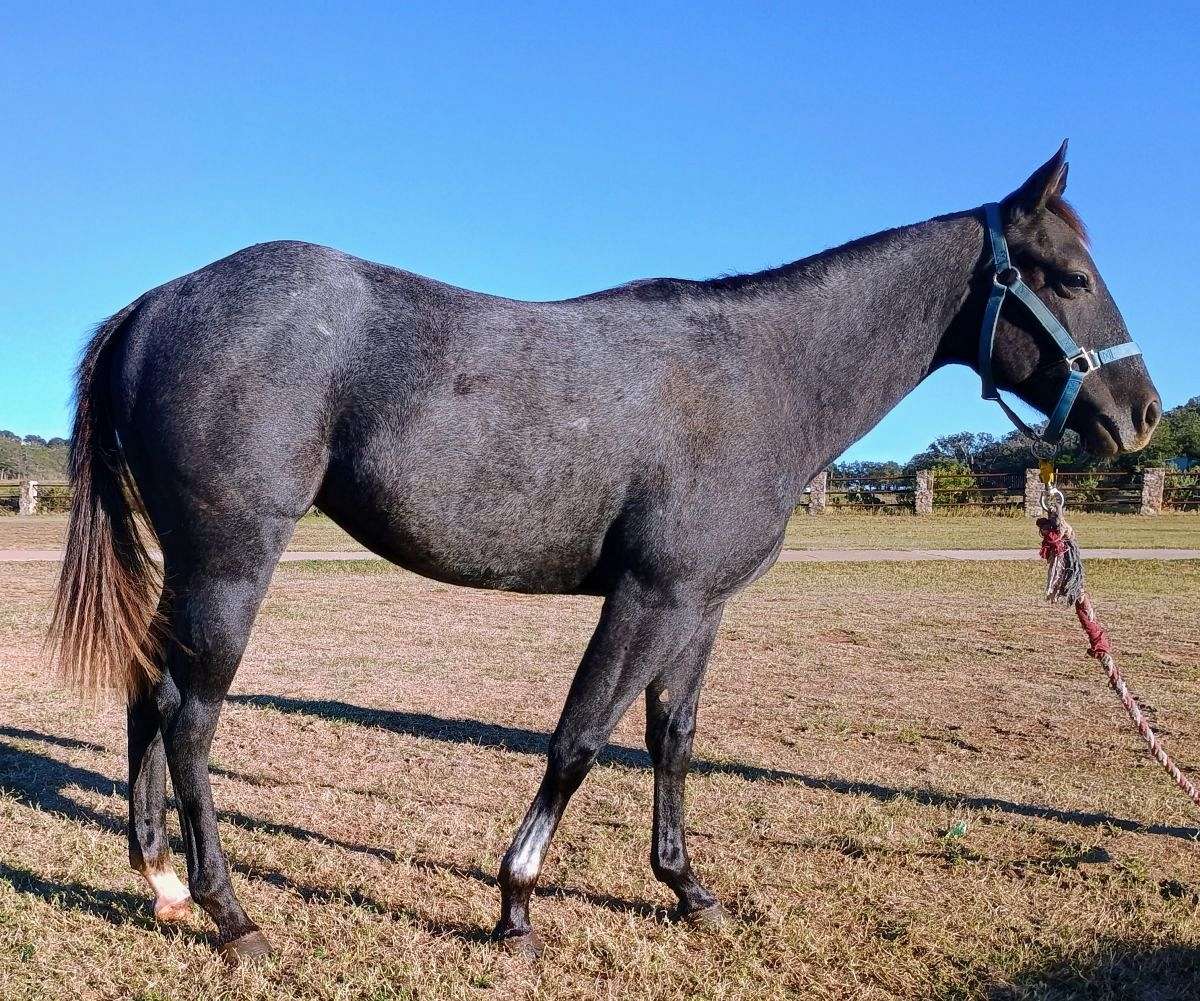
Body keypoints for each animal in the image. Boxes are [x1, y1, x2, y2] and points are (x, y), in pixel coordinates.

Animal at [50, 142, 1160, 962]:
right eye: (1068, 275)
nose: (1142, 414)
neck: (760, 373)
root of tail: (156, 303)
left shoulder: (702, 604)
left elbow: (673, 737)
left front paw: (689, 889)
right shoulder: (648, 596)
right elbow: (579, 739)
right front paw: (515, 905)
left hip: (192, 570)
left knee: (150, 695)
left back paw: (162, 883)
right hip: (231, 565)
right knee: (192, 719)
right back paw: (231, 913)